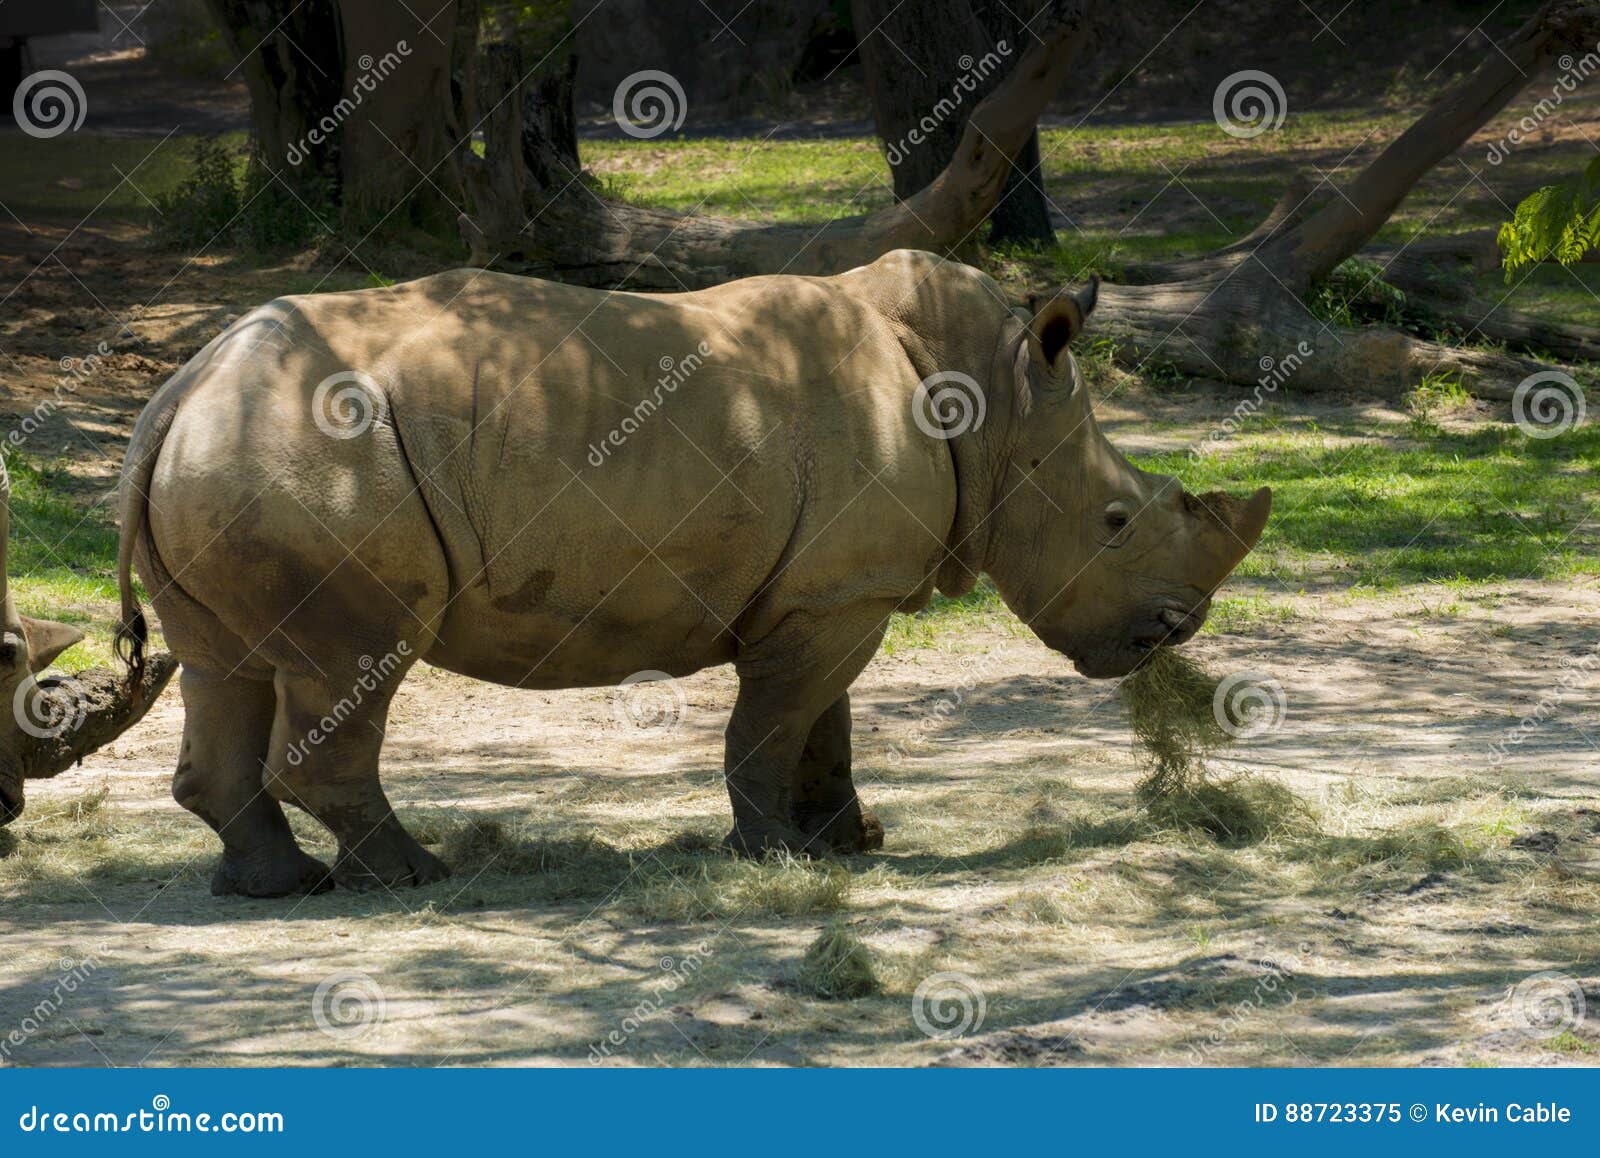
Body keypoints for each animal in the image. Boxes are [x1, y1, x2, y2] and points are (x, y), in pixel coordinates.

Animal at [113, 249, 1269, 897]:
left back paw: (275, 890)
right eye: (1114, 521)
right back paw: (407, 878)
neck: (993, 398)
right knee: (355, 659)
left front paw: (850, 843)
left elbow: (823, 724)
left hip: (236, 454)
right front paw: (775, 858)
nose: (1168, 634)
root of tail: (179, 390)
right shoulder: (832, 596)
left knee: (224, 664)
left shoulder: (831, 588)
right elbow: (774, 724)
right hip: (306, 463)